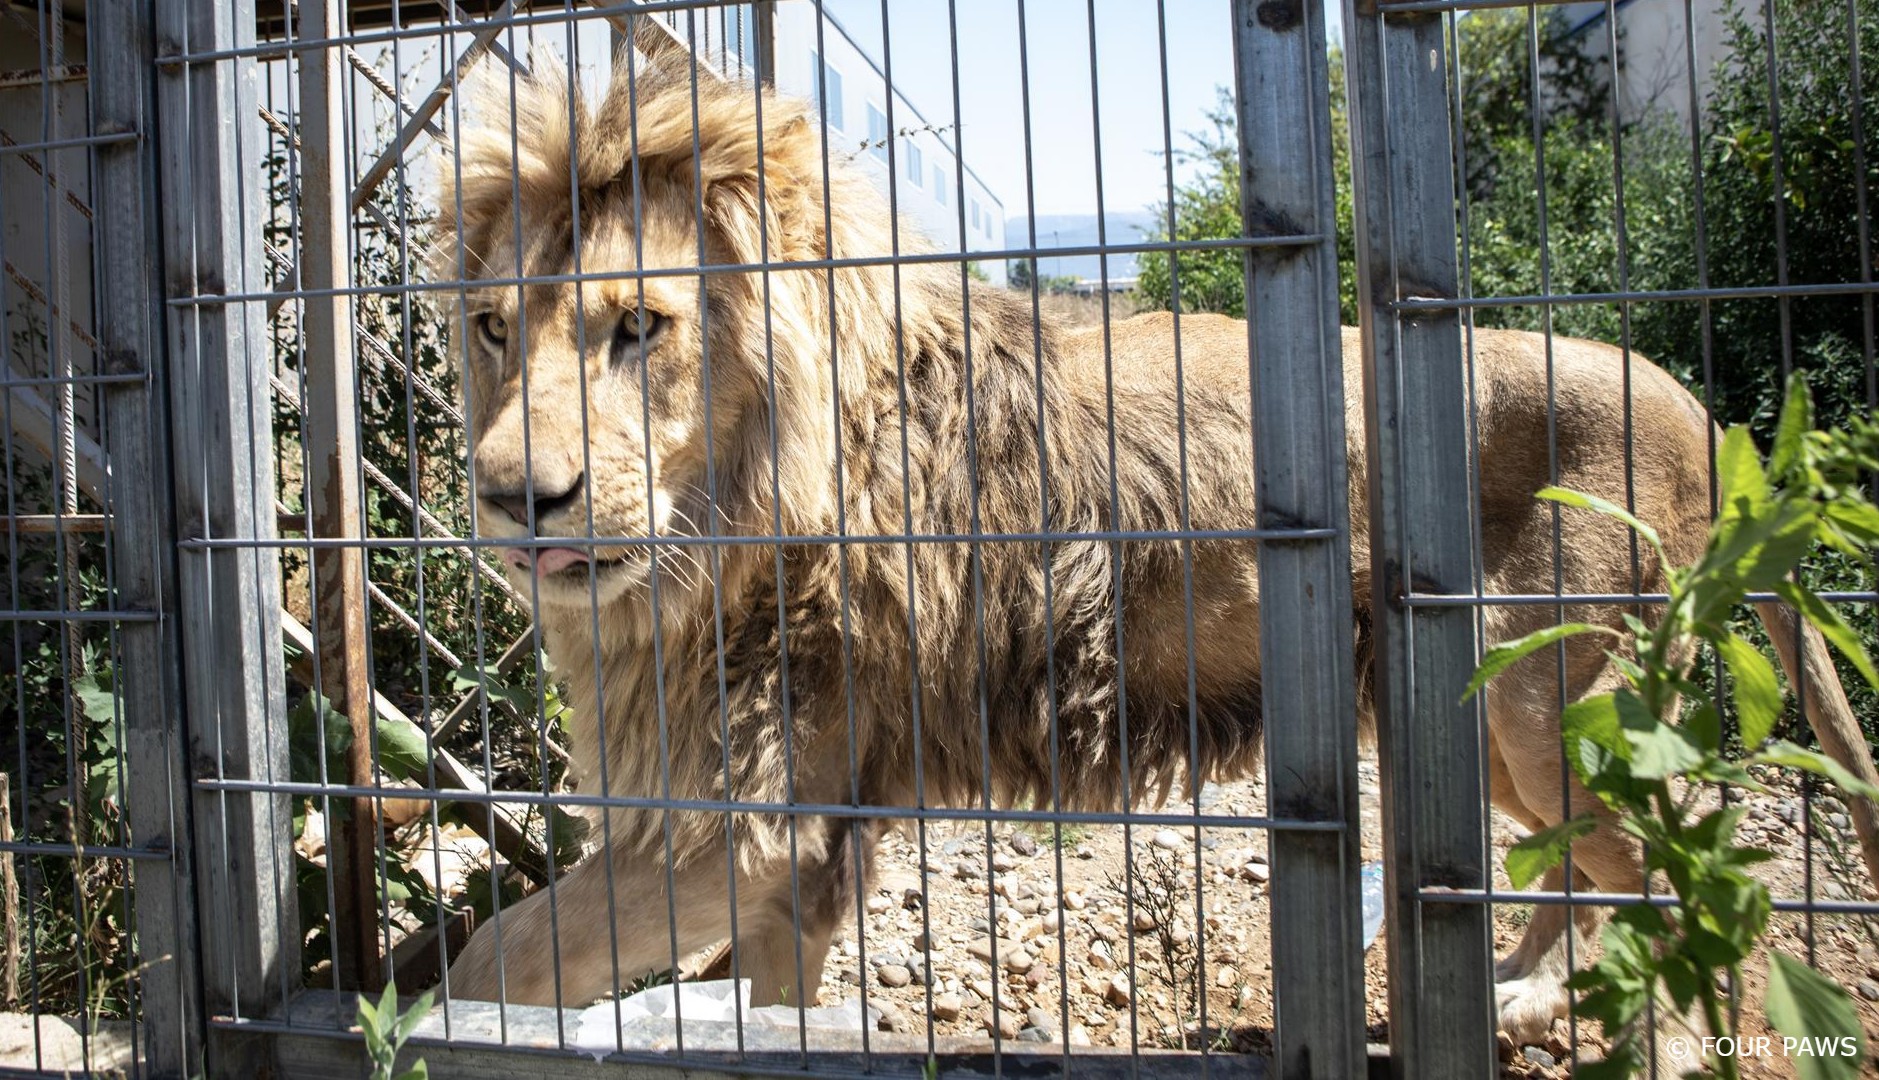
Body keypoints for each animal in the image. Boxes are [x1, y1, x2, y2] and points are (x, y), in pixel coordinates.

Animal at [433, 56, 1879, 1046]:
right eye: (494, 330)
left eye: (638, 327)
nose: (512, 498)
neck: (722, 519)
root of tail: (1691, 400)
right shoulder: (801, 843)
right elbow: (751, 1000)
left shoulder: (738, 826)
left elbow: (490, 962)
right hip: (1489, 725)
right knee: (1584, 868)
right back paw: (1520, 992)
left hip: (1548, 705)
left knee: (1687, 867)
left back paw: (1662, 1034)